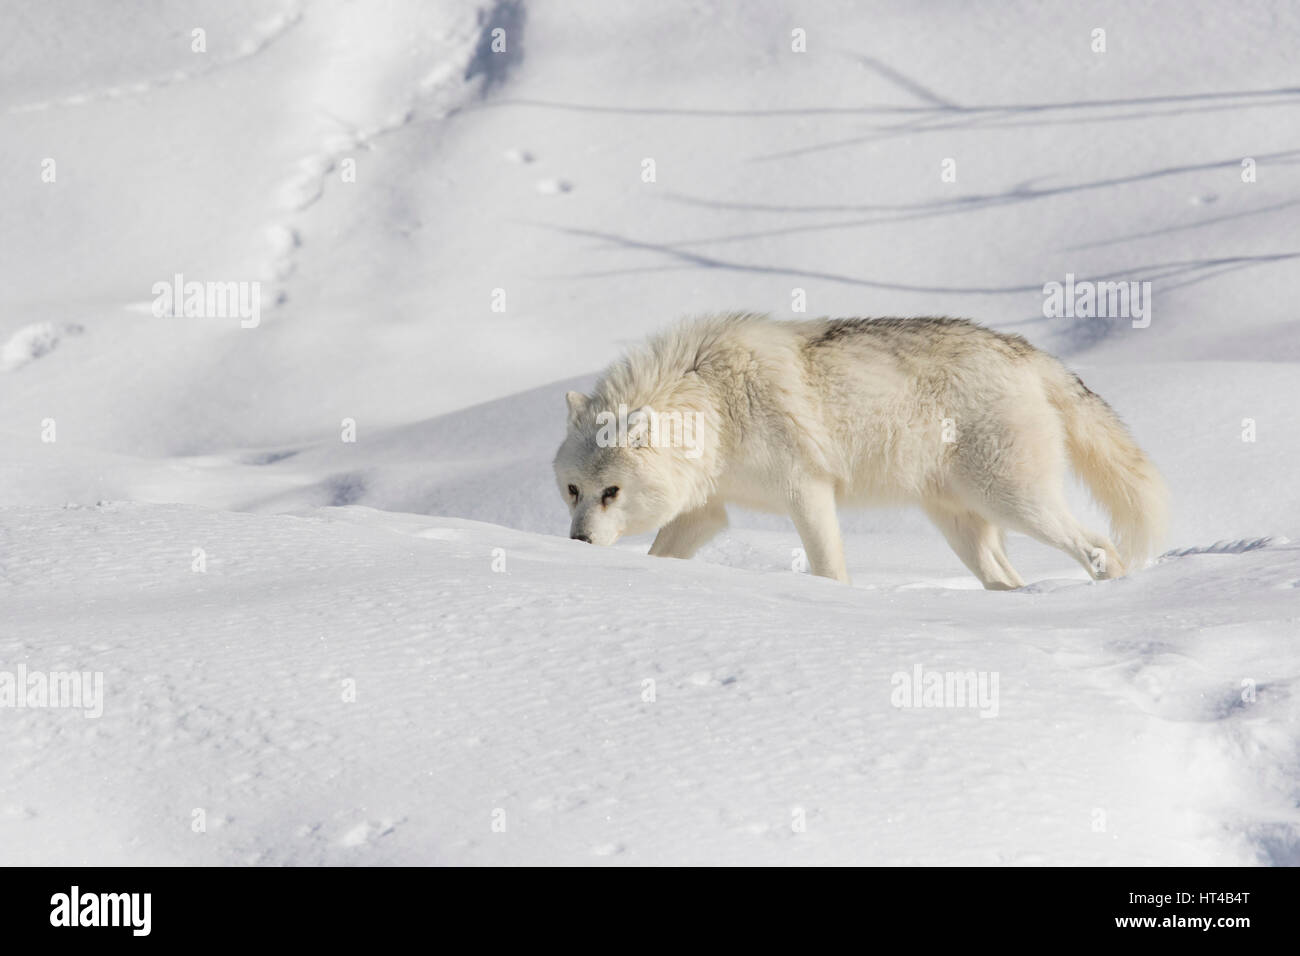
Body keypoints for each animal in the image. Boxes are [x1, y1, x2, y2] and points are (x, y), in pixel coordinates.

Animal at [553, 313, 1168, 589]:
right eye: (573, 491)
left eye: (612, 492)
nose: (578, 544)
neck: (715, 403)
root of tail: (1029, 354)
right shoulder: (707, 512)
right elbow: (662, 555)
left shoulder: (808, 492)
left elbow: (828, 568)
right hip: (965, 528)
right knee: (1008, 580)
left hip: (1016, 502)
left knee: (1098, 548)